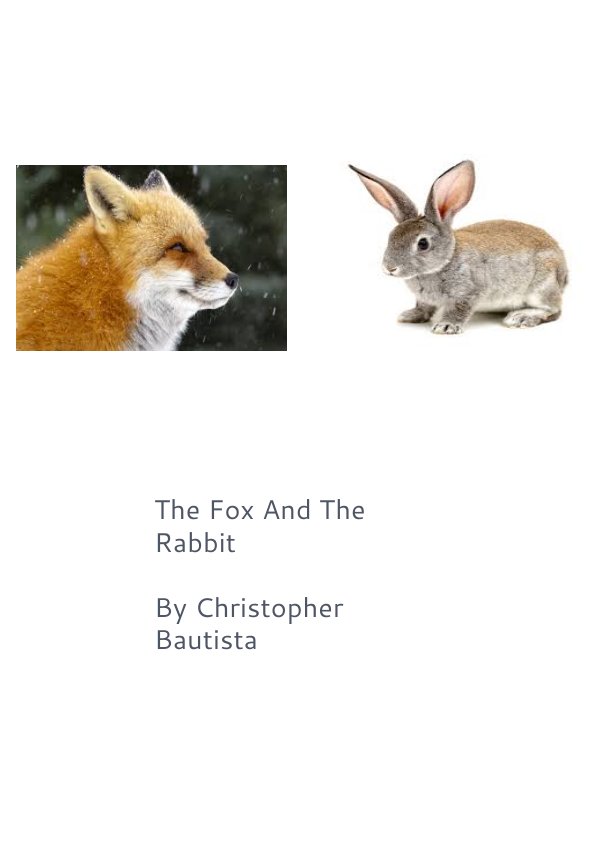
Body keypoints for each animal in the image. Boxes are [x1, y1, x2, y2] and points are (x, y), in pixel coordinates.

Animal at [349, 160, 568, 334]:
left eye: (423, 243)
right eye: (390, 237)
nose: (389, 268)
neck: (445, 260)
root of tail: (564, 271)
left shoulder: (468, 292)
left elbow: (458, 308)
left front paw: (445, 326)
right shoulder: (425, 299)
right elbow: (423, 306)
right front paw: (410, 315)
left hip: (541, 287)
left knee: (553, 310)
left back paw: (521, 317)